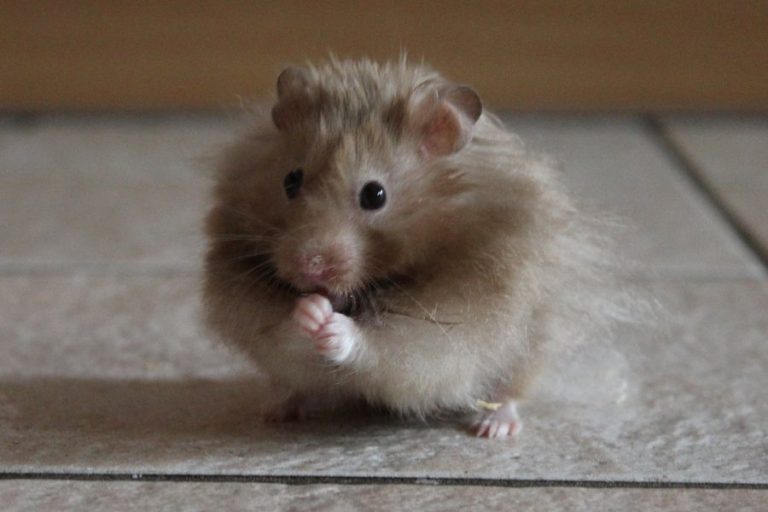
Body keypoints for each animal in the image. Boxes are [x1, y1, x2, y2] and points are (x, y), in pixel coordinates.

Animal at [203, 58, 631, 438]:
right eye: (290, 181)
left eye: (375, 194)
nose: (309, 265)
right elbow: (282, 329)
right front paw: (309, 312)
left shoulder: (450, 323)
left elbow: (382, 345)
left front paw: (333, 326)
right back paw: (275, 411)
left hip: (532, 344)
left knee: (510, 392)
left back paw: (493, 427)